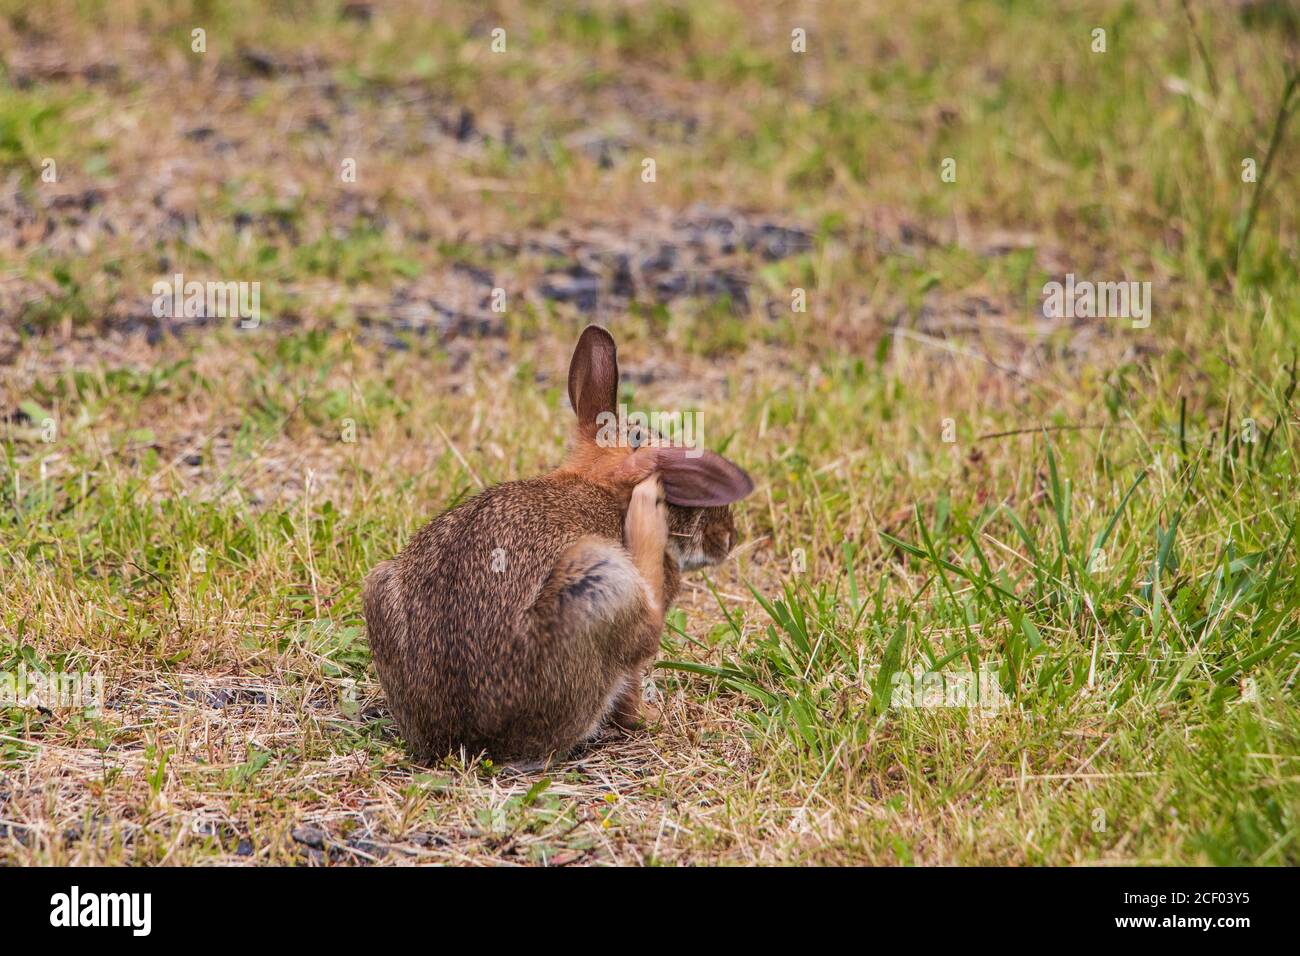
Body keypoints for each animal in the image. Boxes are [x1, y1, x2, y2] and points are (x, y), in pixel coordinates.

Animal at [363, 324, 754, 764]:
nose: (728, 537)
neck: (601, 487)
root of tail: (470, 736)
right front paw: (648, 717)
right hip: (602, 585)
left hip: (379, 587)